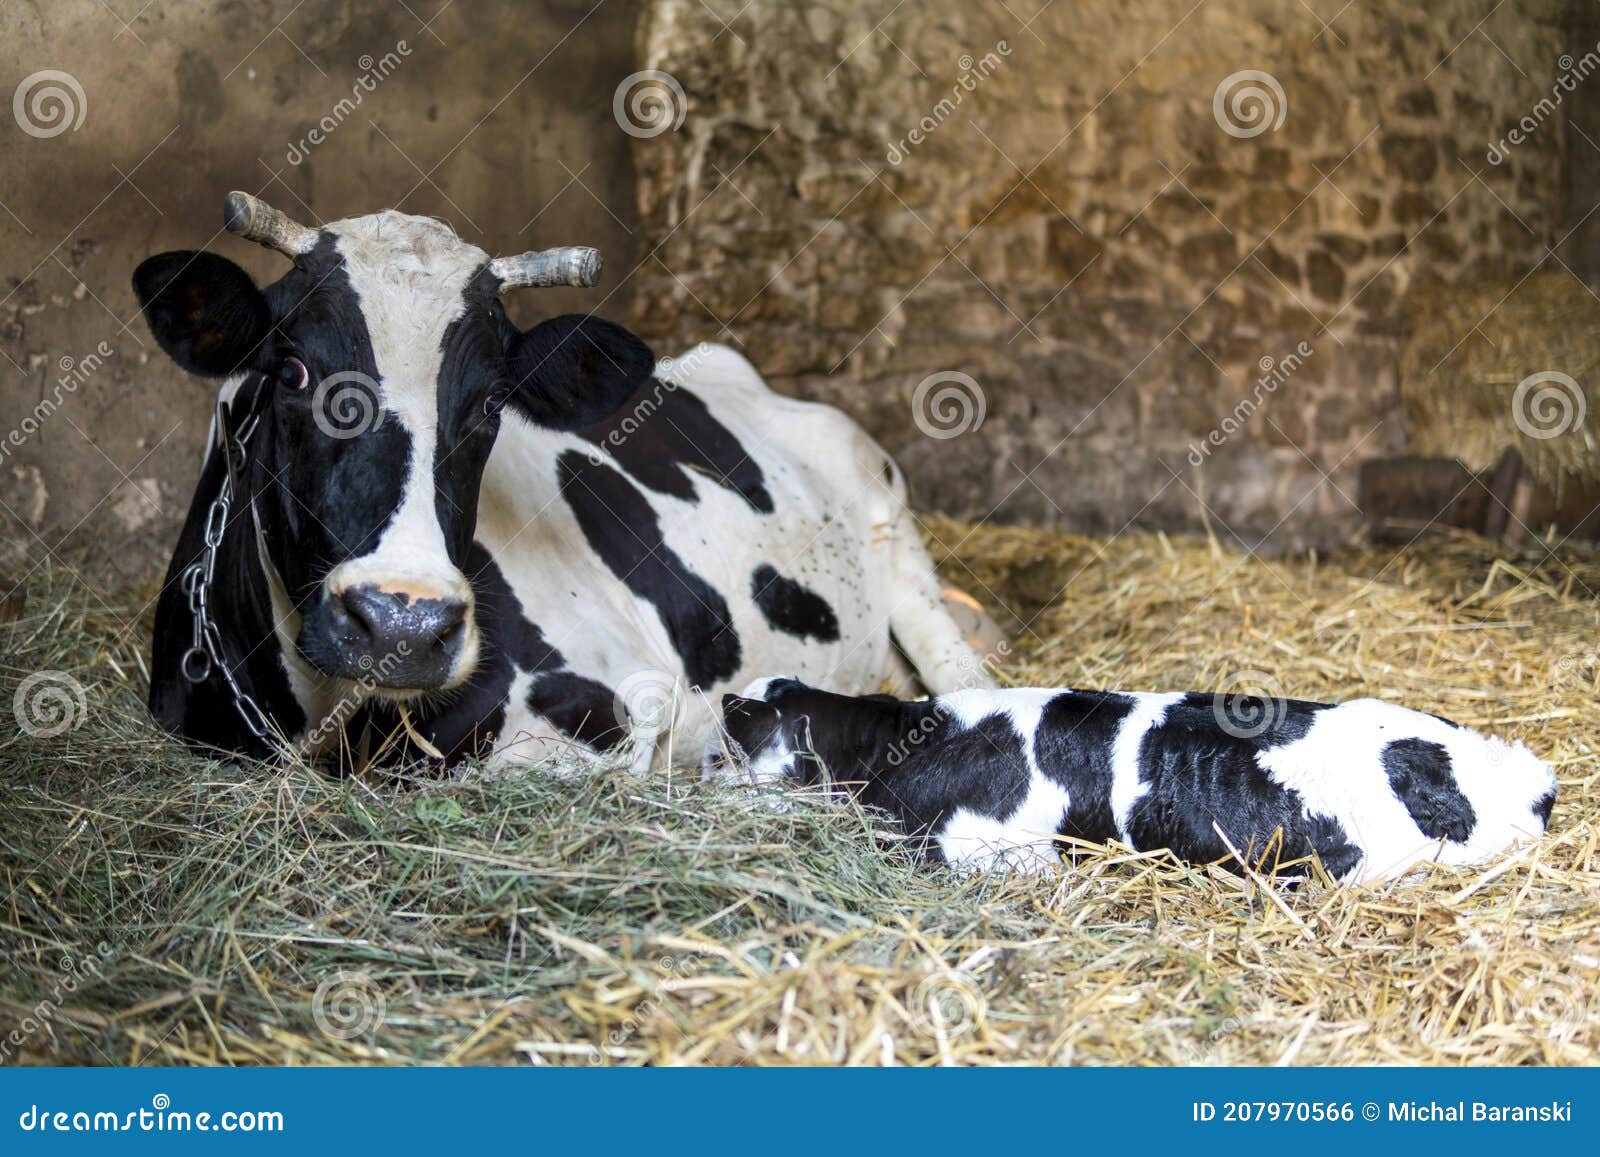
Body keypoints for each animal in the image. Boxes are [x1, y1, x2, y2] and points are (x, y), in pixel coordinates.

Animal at [135, 193, 992, 773]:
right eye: (292, 370)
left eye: (490, 401)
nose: (403, 624)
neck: (326, 717)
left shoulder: (631, 698)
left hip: (900, 544)